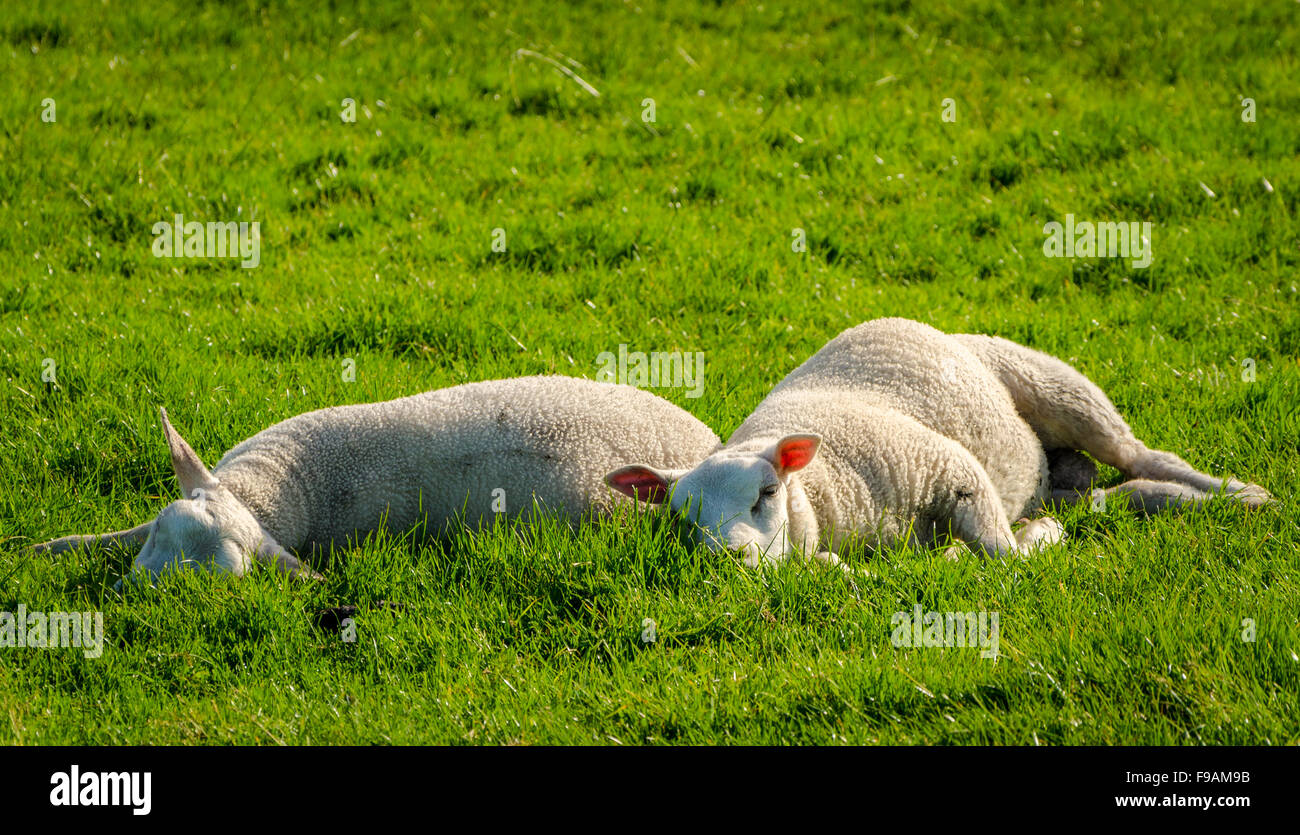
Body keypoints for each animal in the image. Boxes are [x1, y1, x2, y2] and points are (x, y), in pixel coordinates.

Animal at [34, 375, 721, 581]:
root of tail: (704, 443)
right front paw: (49, 547)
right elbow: (104, 537)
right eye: (160, 538)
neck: (270, 487)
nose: (133, 602)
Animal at [606, 318, 1271, 567]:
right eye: (681, 518)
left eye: (767, 493)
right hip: (1058, 474)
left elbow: (1003, 555)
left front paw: (1025, 543)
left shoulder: (950, 467)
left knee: (1138, 456)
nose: (729, 559)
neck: (824, 494)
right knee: (1119, 494)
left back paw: (1241, 494)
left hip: (1054, 386)